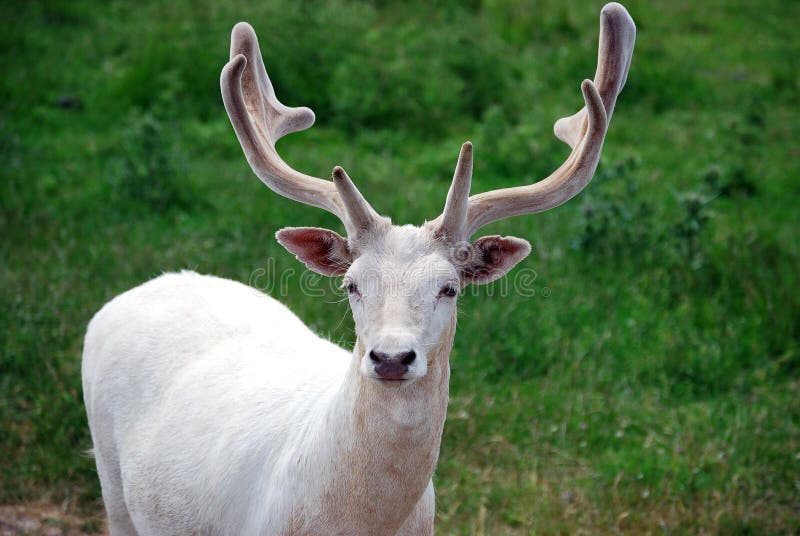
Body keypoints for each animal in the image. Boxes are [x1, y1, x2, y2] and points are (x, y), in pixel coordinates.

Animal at [81, 3, 635, 534]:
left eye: (450, 288)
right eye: (351, 285)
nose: (391, 357)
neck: (359, 520)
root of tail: (152, 285)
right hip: (111, 482)